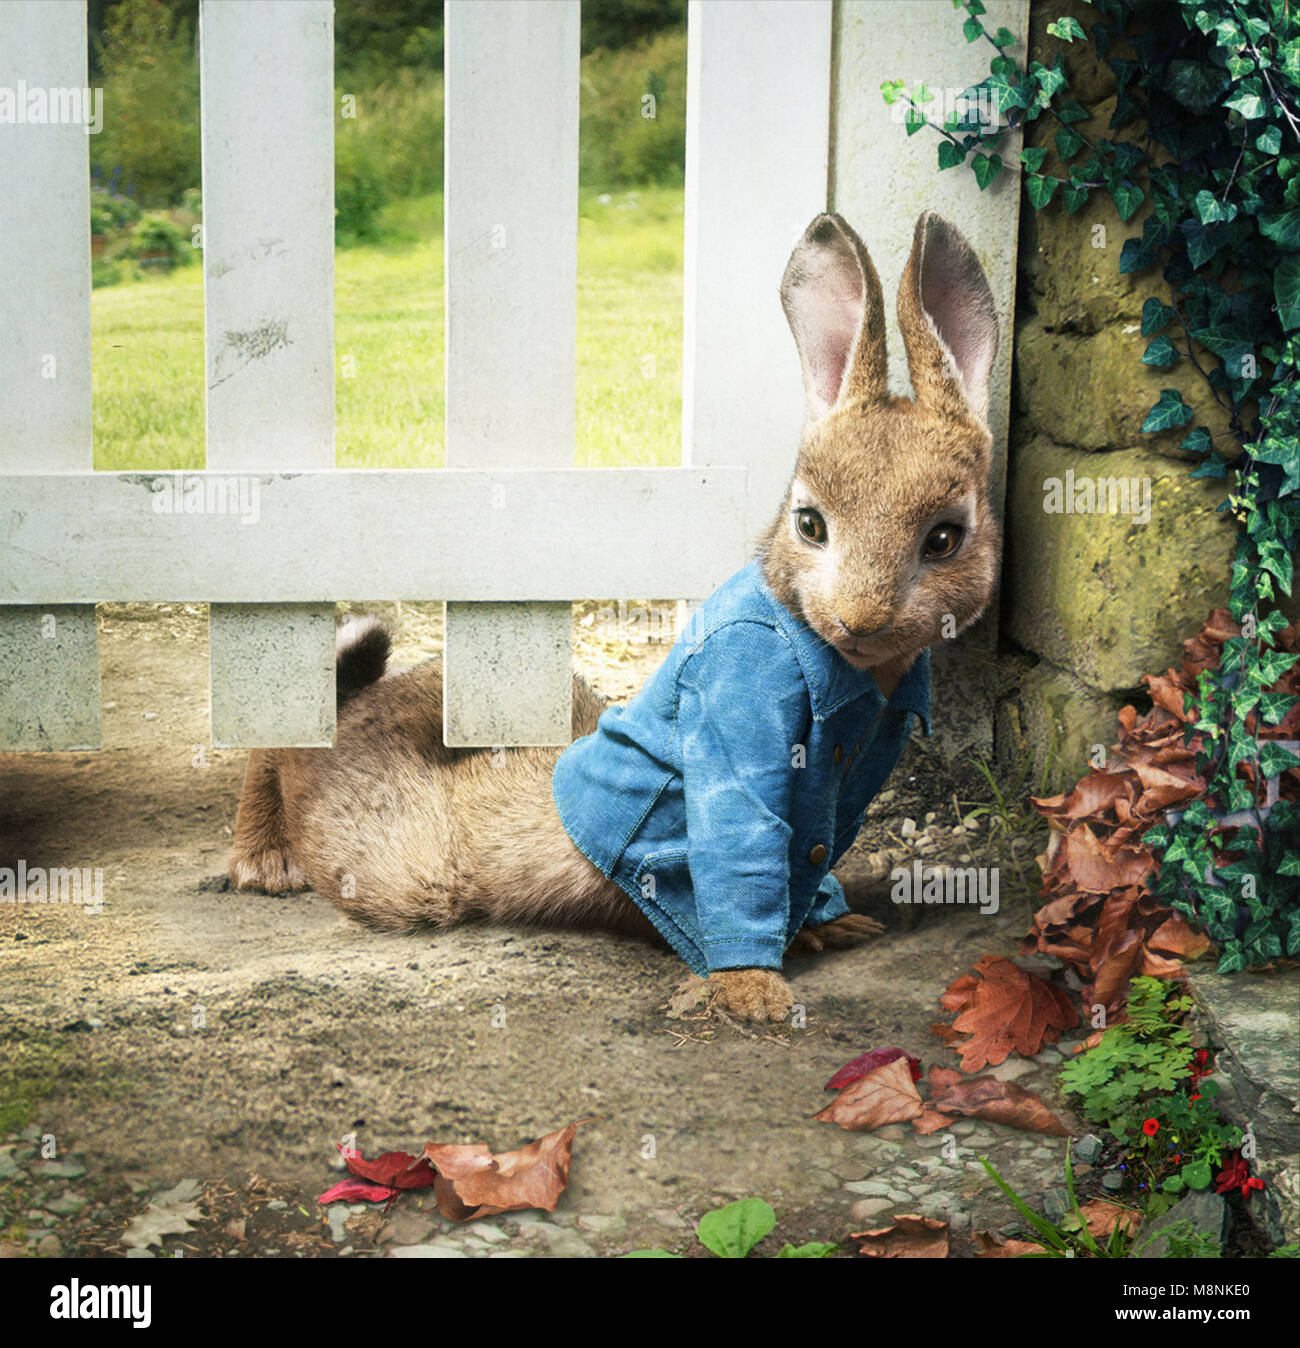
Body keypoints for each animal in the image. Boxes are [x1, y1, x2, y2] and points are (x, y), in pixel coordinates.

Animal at [227, 210, 1001, 1023]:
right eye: (811, 525)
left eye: (944, 539)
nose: (861, 616)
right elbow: (743, 850)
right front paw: (752, 992)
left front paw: (835, 924)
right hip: (396, 858)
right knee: (290, 747)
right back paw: (264, 860)